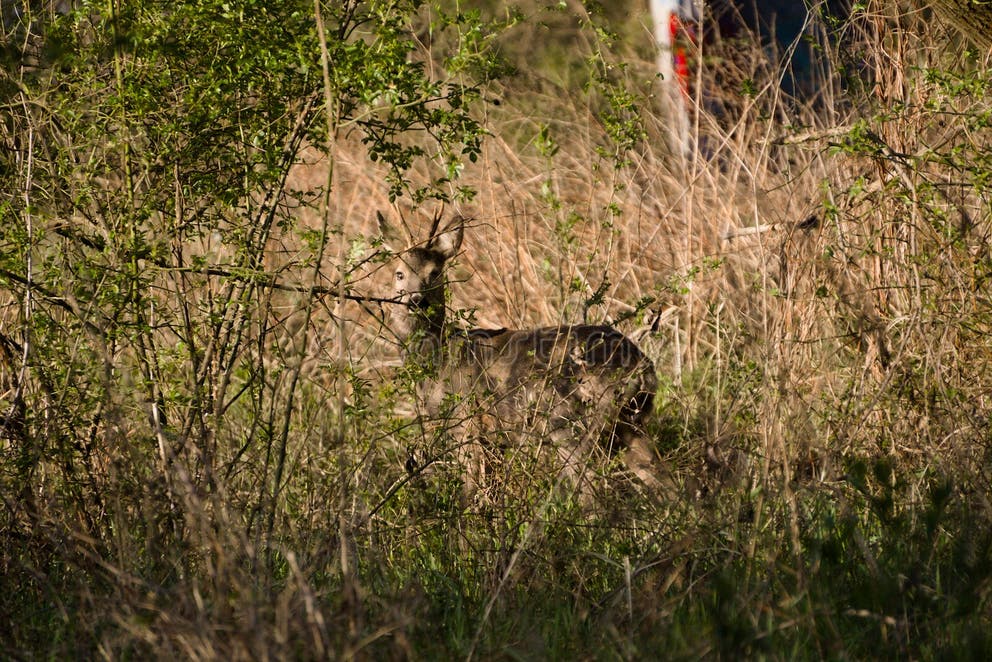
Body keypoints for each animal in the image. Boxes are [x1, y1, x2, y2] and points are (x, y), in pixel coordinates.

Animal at [377, 211, 663, 505]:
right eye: (399, 273)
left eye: (434, 273)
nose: (415, 301)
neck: (439, 360)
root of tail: (640, 366)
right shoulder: (493, 439)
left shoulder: (467, 426)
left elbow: (468, 492)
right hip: (629, 424)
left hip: (569, 422)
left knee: (590, 487)